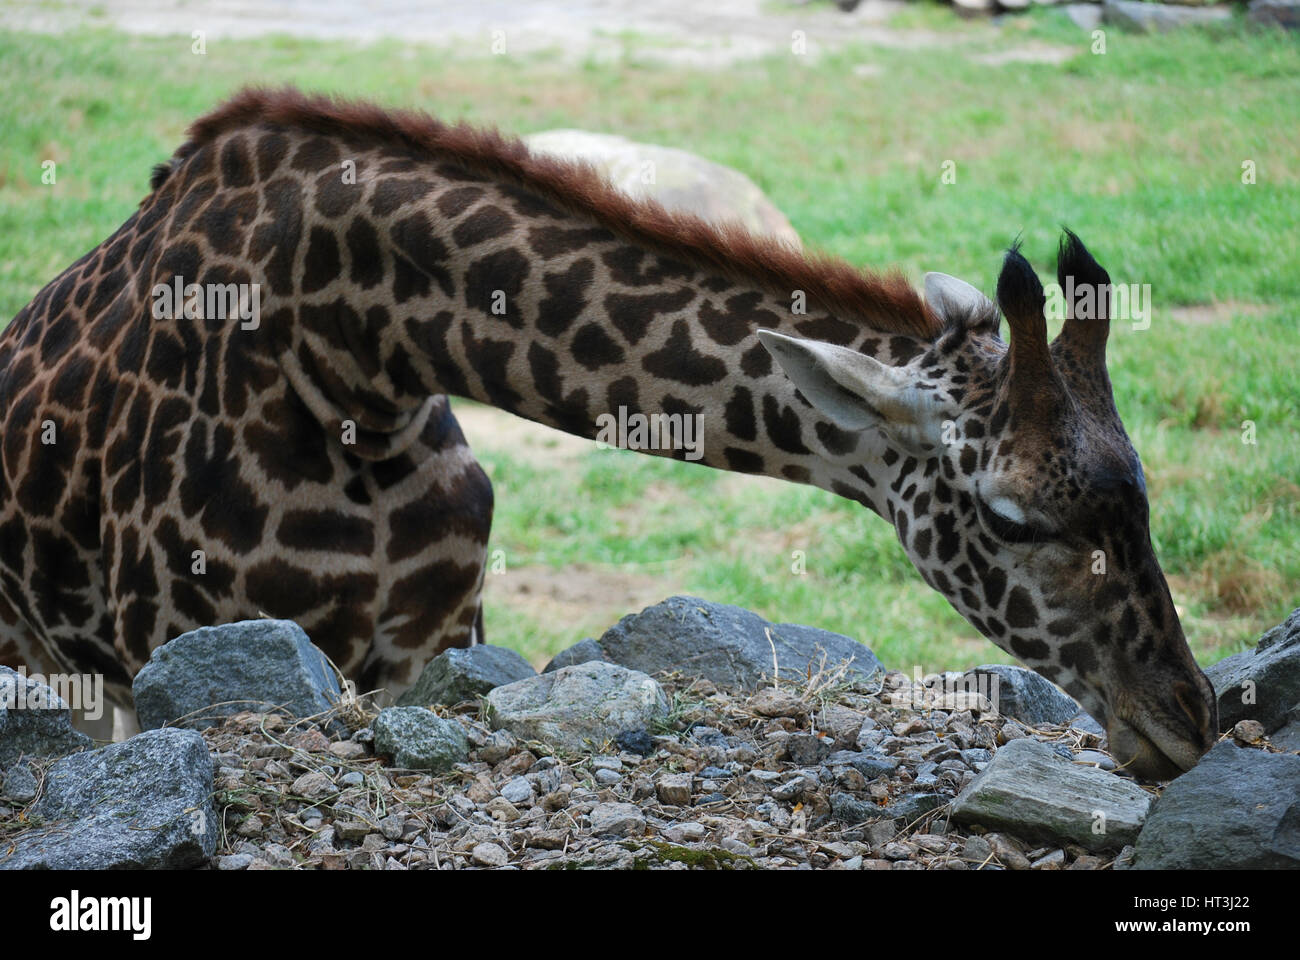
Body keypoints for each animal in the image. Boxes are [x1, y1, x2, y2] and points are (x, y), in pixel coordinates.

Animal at [0, 88, 1215, 779]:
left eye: (1144, 493)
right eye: (1012, 519)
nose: (1186, 720)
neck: (351, 361)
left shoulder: (429, 642)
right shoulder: (185, 646)